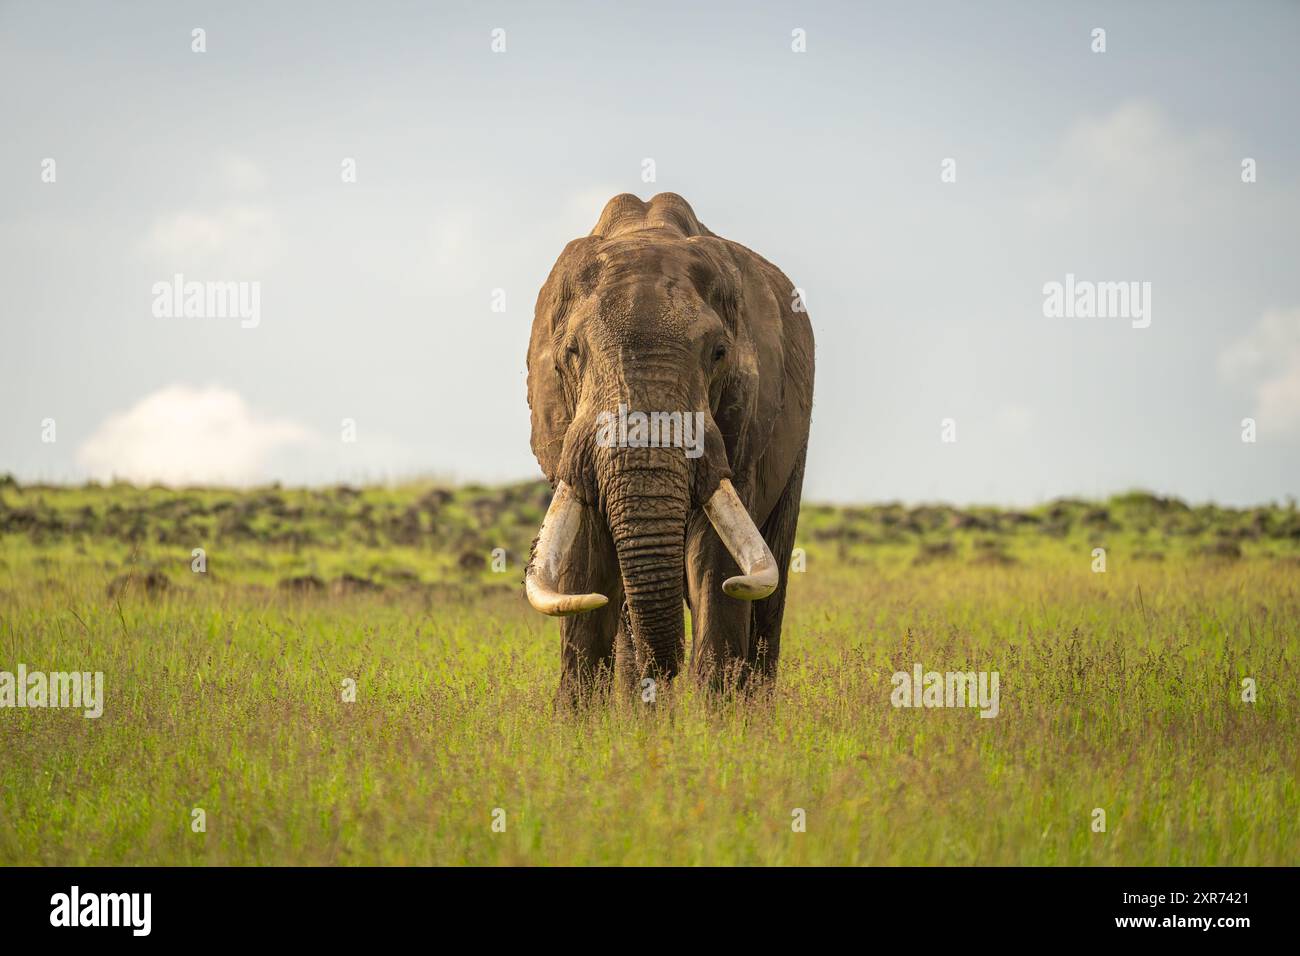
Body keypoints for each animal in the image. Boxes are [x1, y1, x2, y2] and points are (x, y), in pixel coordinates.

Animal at [525, 192, 814, 701]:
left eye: (718, 353)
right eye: (573, 353)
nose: (666, 669)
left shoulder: (741, 426)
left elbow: (716, 564)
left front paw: (719, 715)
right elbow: (585, 561)